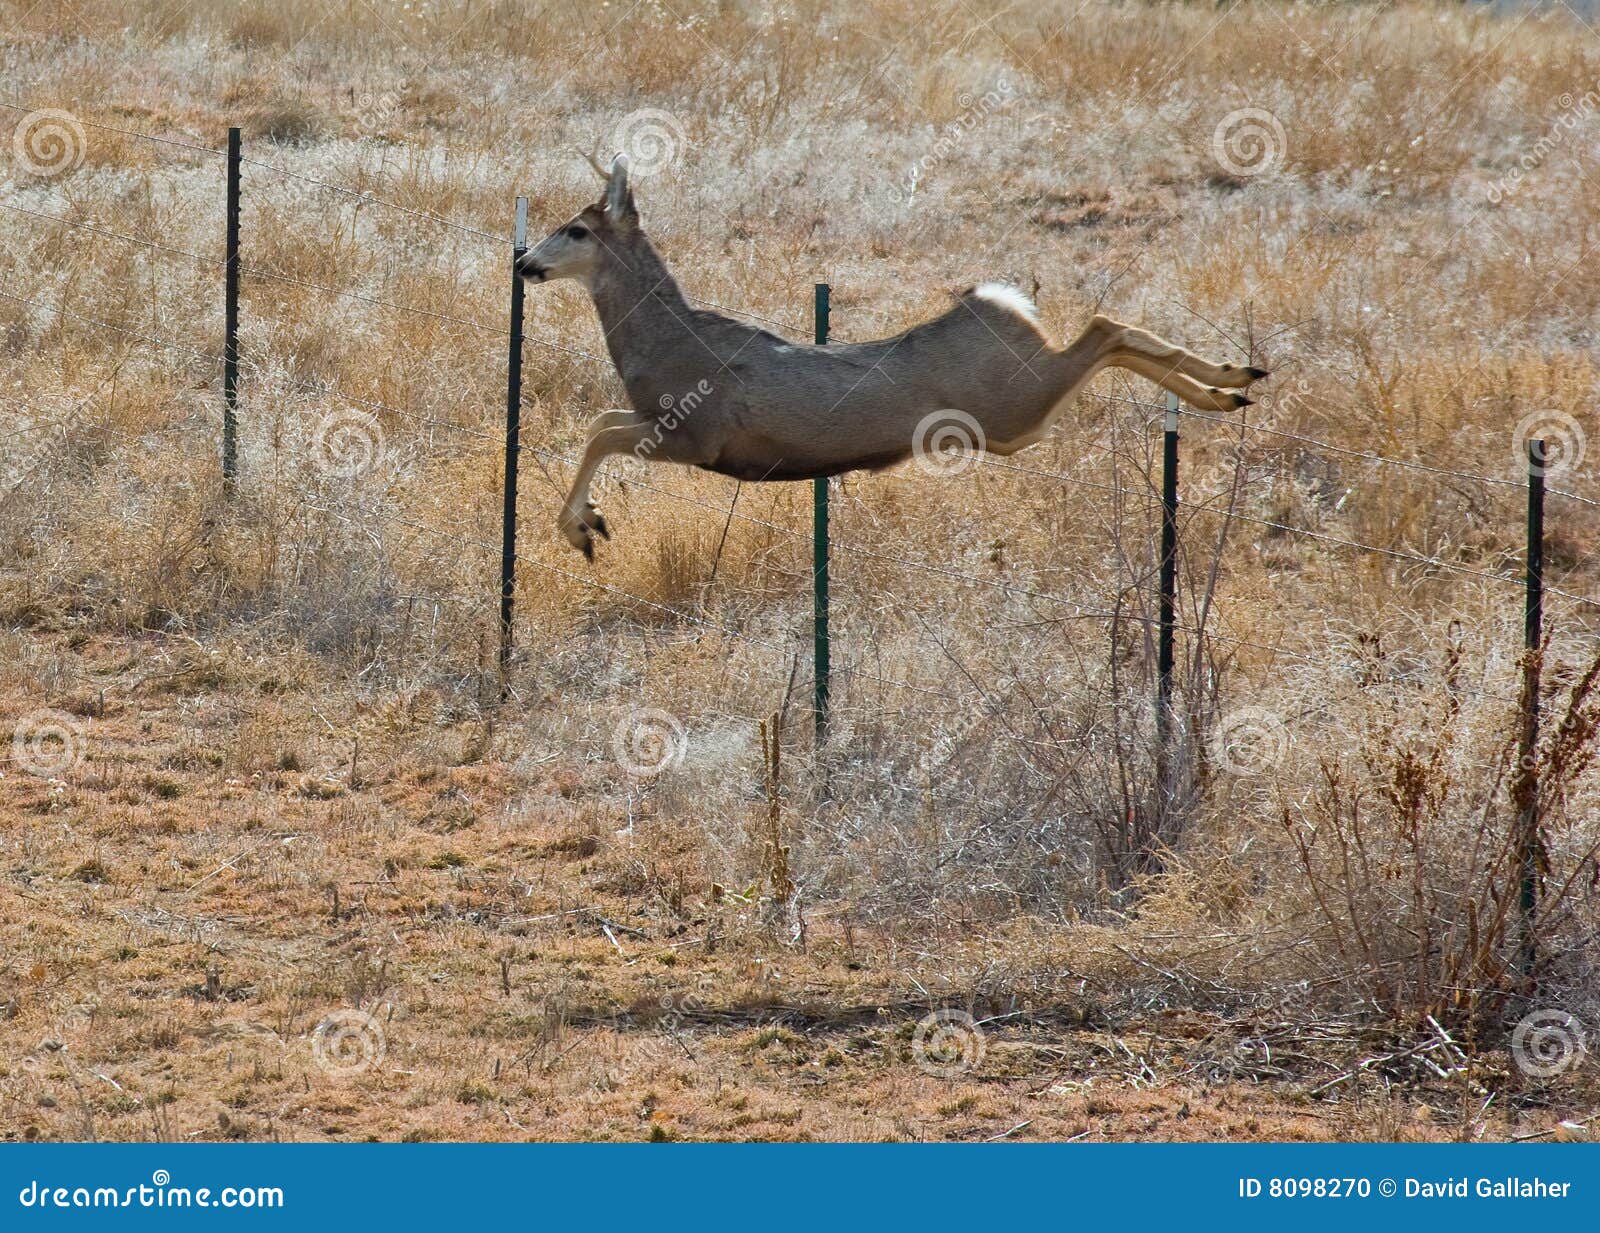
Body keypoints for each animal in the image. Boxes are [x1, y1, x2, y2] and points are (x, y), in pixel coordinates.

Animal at [520, 154, 1268, 560]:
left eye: (577, 229)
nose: (525, 261)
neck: (661, 340)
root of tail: (998, 305)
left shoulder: (697, 433)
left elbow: (600, 432)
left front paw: (581, 529)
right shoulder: (673, 428)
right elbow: (600, 425)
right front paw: (591, 519)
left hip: (1014, 406)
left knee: (1104, 327)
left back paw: (1229, 379)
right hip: (1013, 416)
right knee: (1107, 335)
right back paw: (1232, 384)